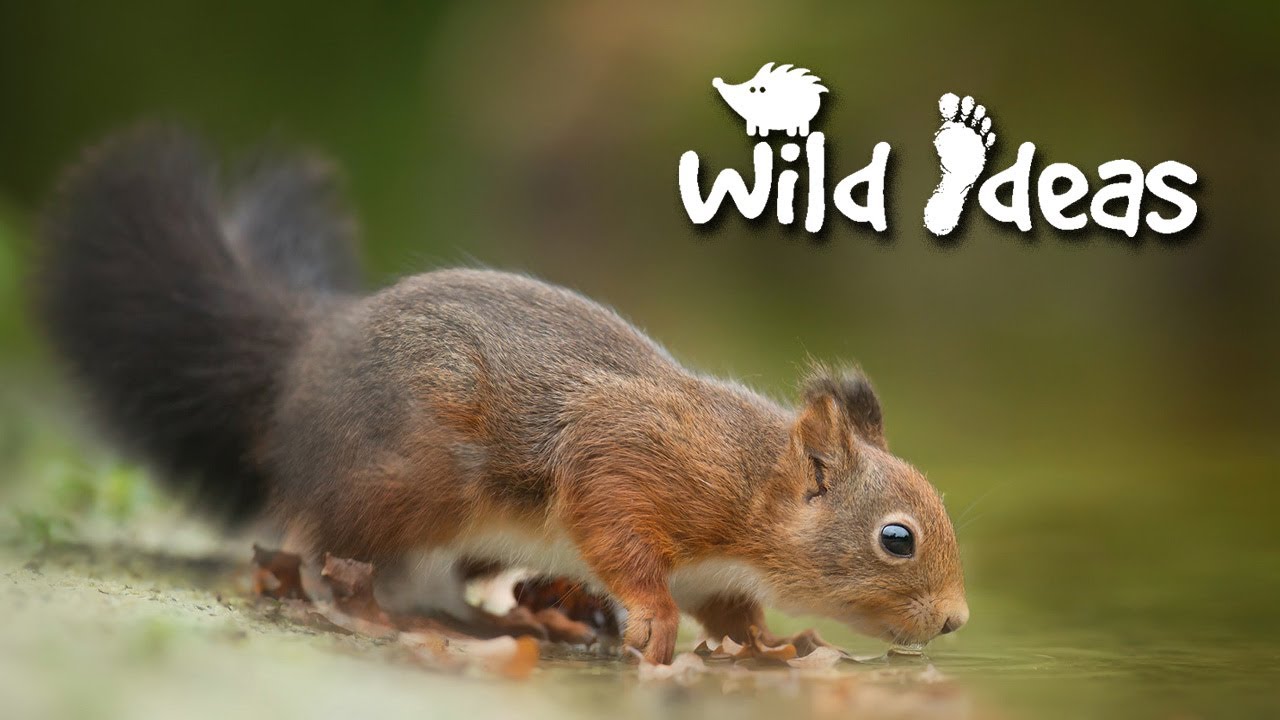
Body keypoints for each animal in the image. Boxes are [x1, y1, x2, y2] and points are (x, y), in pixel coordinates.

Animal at [36, 126, 968, 664]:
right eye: (897, 538)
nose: (958, 622)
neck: (750, 483)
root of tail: (305, 355)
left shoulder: (718, 566)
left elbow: (731, 611)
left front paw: (769, 642)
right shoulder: (635, 459)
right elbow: (615, 526)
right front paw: (654, 617)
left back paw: (541, 619)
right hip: (404, 482)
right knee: (327, 553)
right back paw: (392, 618)